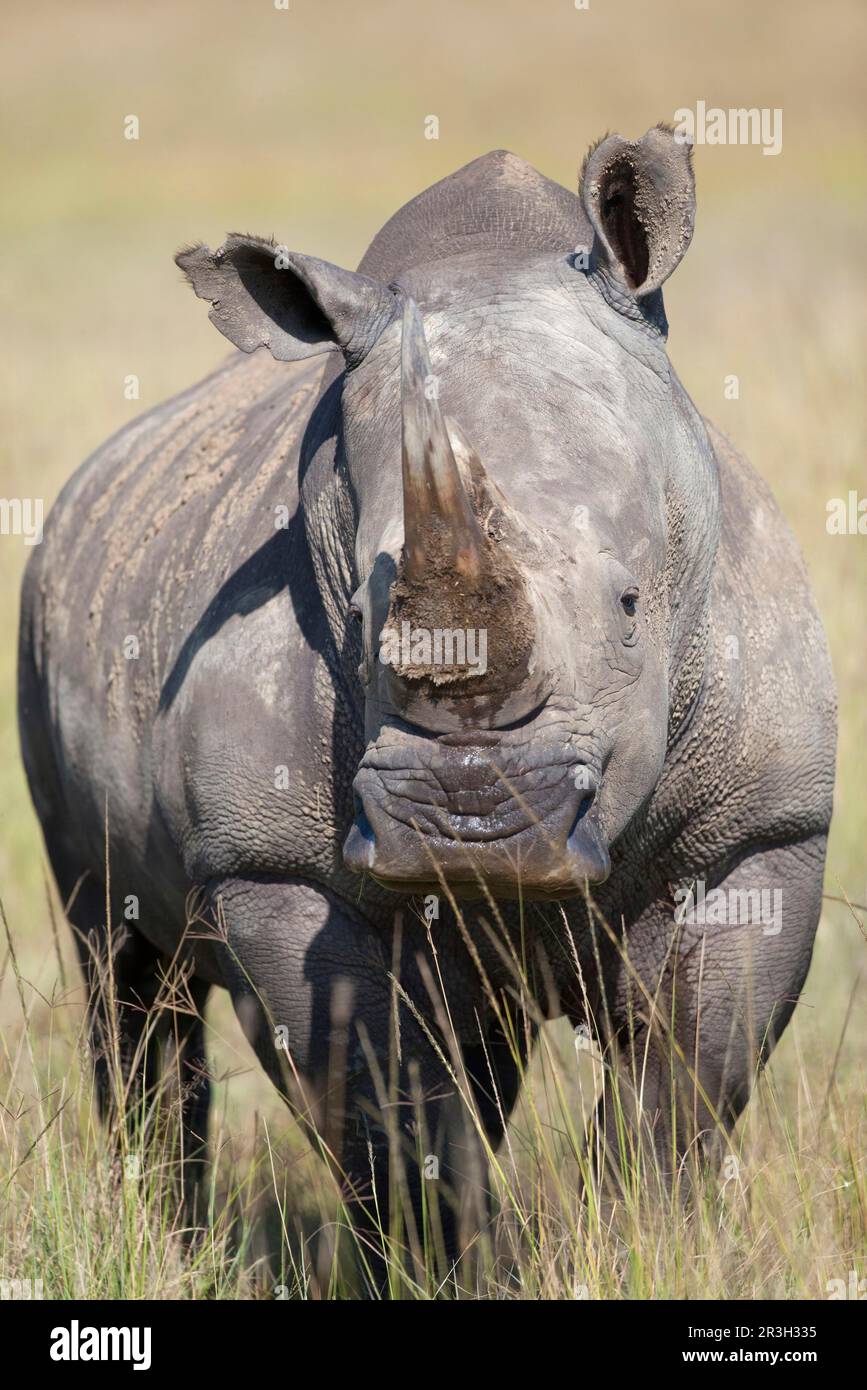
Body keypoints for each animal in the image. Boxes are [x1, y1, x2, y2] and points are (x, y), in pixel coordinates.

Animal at [18, 125, 835, 1276]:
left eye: (632, 605)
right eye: (361, 620)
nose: (472, 827)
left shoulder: (759, 829)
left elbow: (683, 1089)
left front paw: (641, 1249)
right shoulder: (274, 863)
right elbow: (384, 1111)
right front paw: (439, 1268)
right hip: (48, 613)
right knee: (124, 970)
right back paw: (166, 1243)